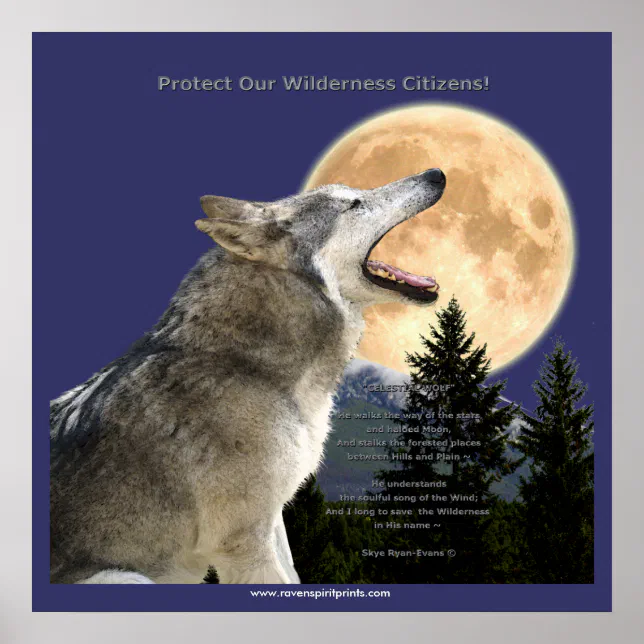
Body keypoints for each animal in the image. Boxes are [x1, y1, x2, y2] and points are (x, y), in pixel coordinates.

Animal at [50, 168, 446, 584]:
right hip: (126, 576)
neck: (252, 368)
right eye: (353, 204)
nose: (435, 173)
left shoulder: (273, 519)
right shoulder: (243, 541)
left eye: (355, 193)